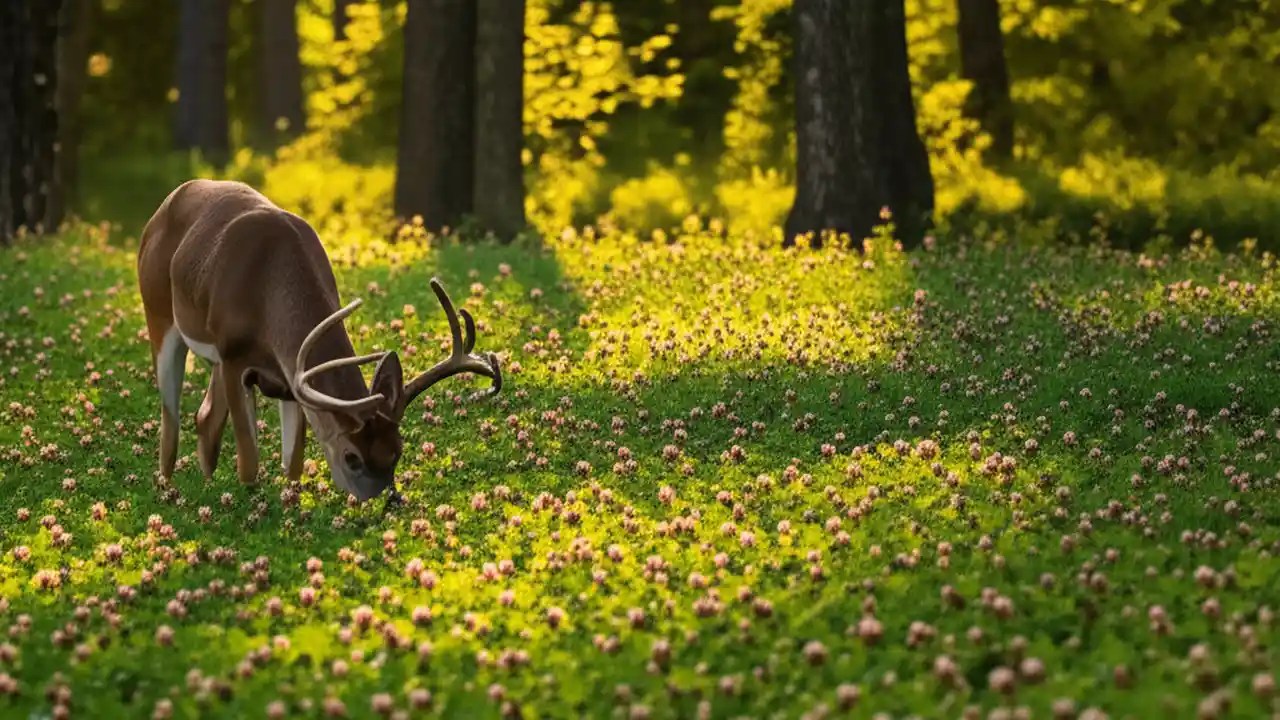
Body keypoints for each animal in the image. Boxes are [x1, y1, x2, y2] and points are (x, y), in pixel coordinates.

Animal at [136, 179, 501, 504]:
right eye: (352, 457)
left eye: (397, 451)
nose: (389, 500)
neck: (269, 288)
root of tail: (164, 206)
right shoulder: (233, 356)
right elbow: (249, 463)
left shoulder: (289, 379)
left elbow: (293, 465)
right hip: (159, 313)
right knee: (170, 420)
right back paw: (167, 488)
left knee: (206, 418)